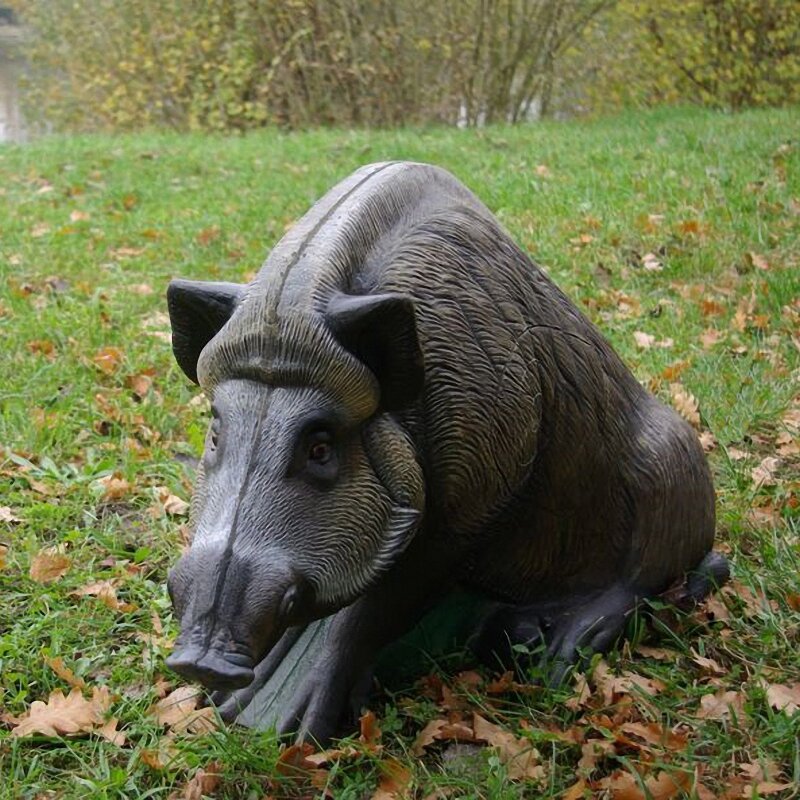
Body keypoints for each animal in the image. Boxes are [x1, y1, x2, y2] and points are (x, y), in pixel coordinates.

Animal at [165, 161, 728, 742]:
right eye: (215, 431)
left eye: (320, 445)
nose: (200, 662)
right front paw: (232, 710)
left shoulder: (478, 493)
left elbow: (373, 608)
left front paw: (303, 735)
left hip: (671, 467)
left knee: (656, 576)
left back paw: (557, 652)